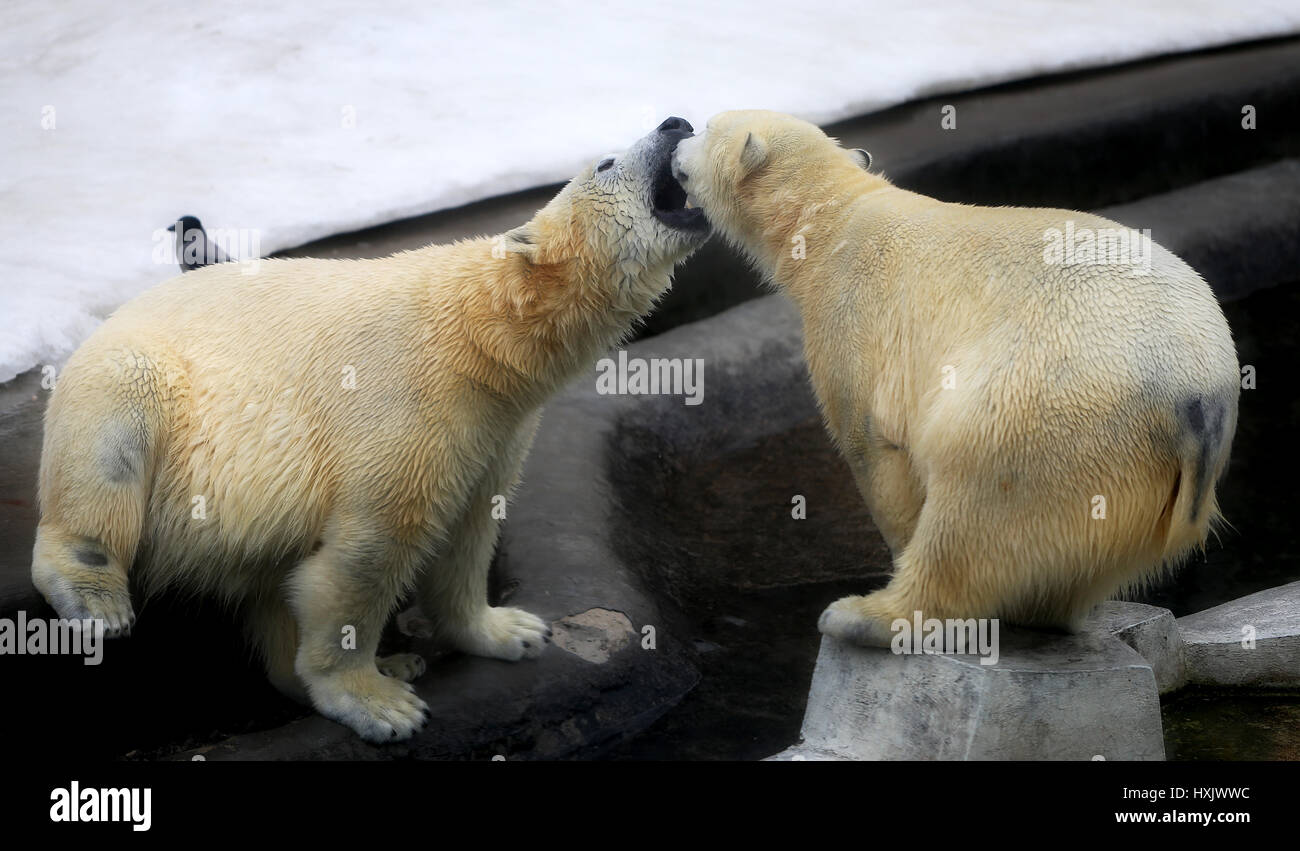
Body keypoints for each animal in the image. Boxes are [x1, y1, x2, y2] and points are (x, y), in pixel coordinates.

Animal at [31, 117, 709, 742]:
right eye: (607, 161)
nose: (675, 121)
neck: (478, 333)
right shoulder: (406, 402)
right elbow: (369, 552)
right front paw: (379, 705)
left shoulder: (498, 426)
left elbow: (469, 530)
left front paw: (511, 631)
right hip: (143, 388)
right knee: (113, 439)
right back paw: (95, 596)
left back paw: (389, 662)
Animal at [671, 110, 1239, 646]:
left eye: (709, 127)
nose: (675, 138)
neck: (832, 216)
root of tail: (1200, 396)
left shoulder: (849, 316)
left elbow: (870, 445)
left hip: (1049, 405)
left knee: (972, 501)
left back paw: (865, 615)